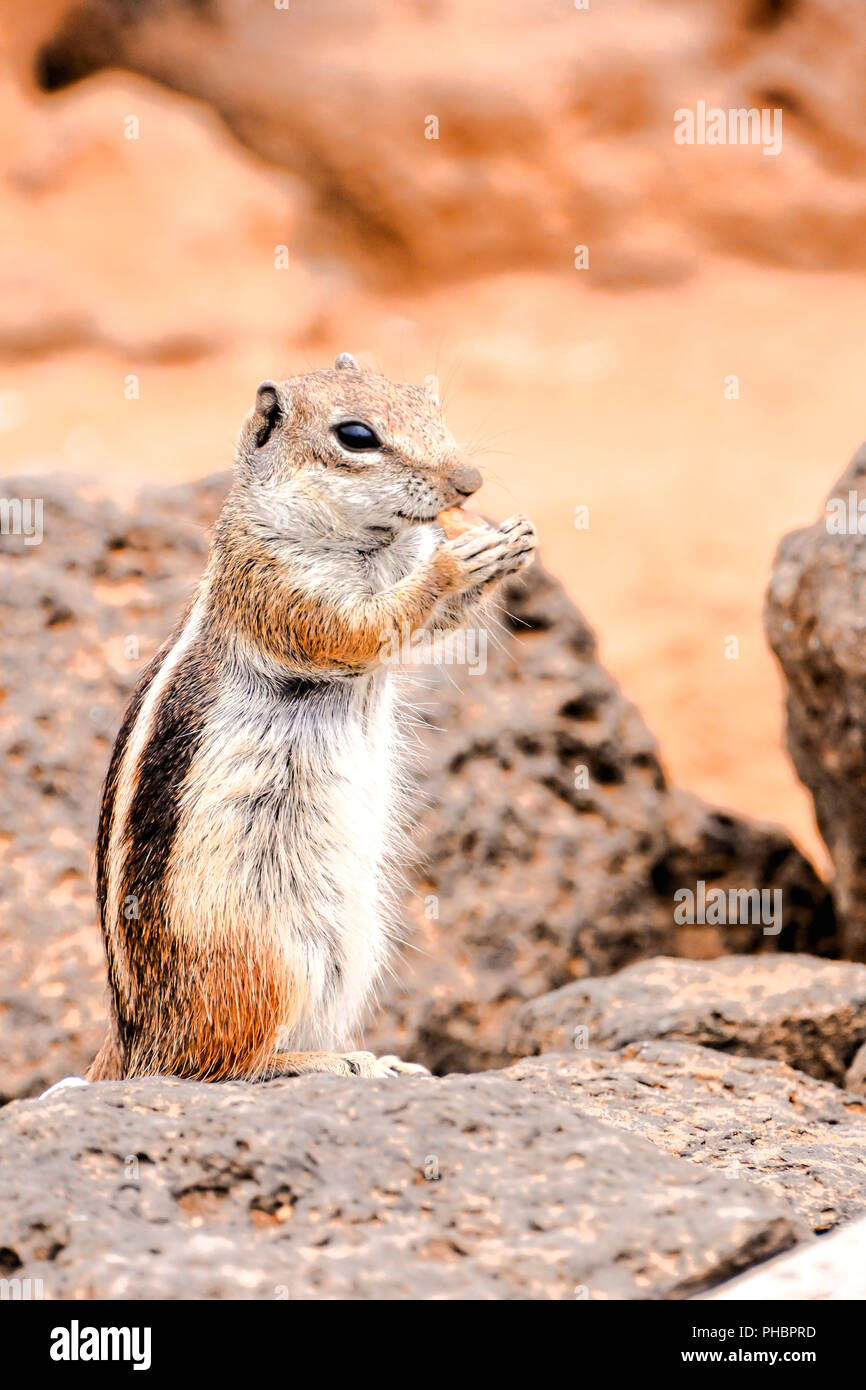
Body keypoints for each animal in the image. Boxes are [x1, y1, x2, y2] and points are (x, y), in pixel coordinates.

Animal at [87, 354, 537, 1083]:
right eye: (356, 436)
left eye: (431, 403)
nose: (470, 482)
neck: (373, 547)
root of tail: (134, 1041)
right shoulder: (278, 588)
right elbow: (361, 627)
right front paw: (457, 564)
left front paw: (508, 543)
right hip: (266, 960)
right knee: (218, 1064)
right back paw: (326, 1061)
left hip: (350, 949)